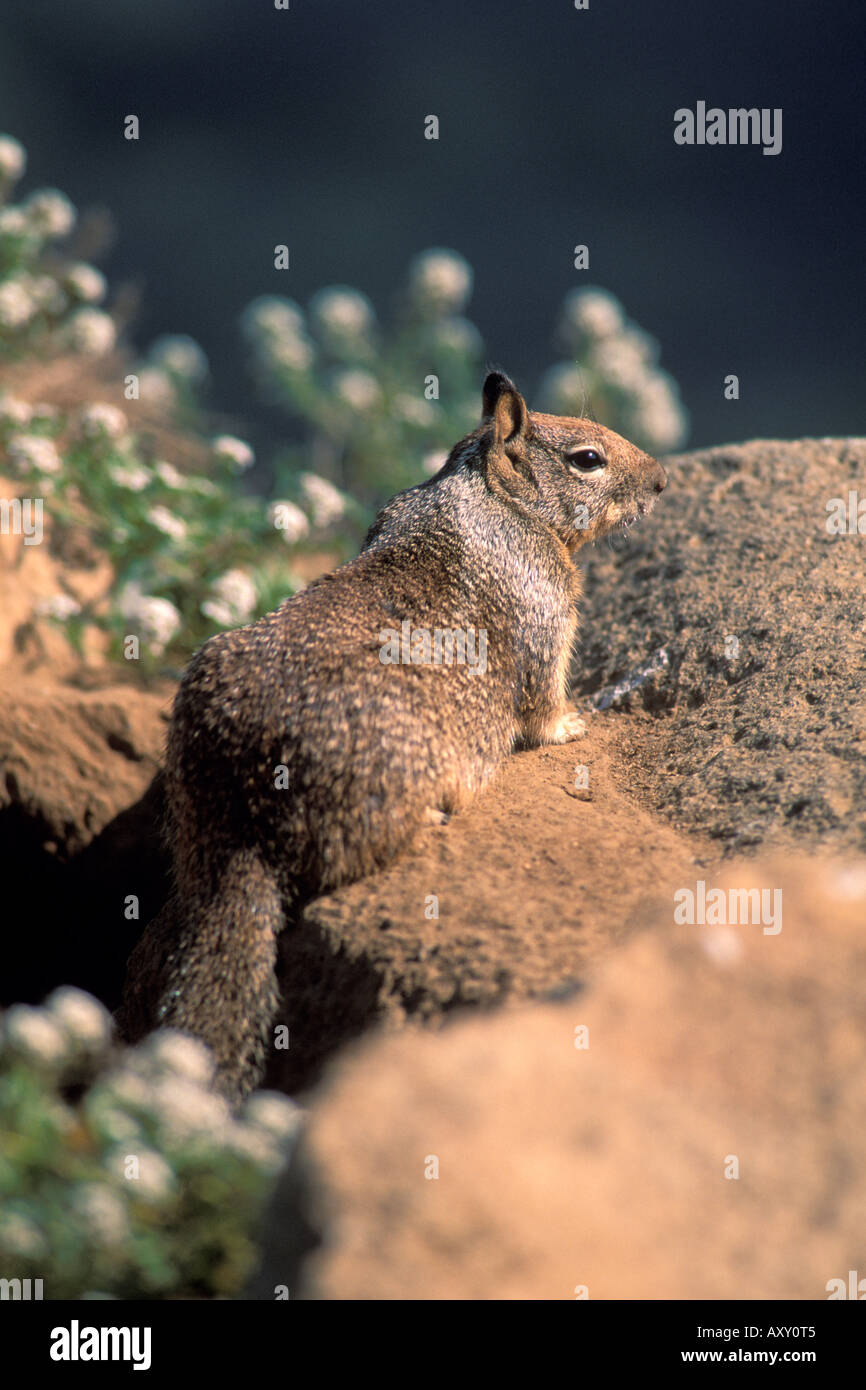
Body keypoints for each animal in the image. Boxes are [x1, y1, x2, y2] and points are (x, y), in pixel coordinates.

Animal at [117, 372, 666, 1101]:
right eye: (587, 458)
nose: (663, 480)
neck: (491, 497)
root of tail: (240, 820)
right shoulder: (546, 621)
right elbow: (543, 706)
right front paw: (578, 721)